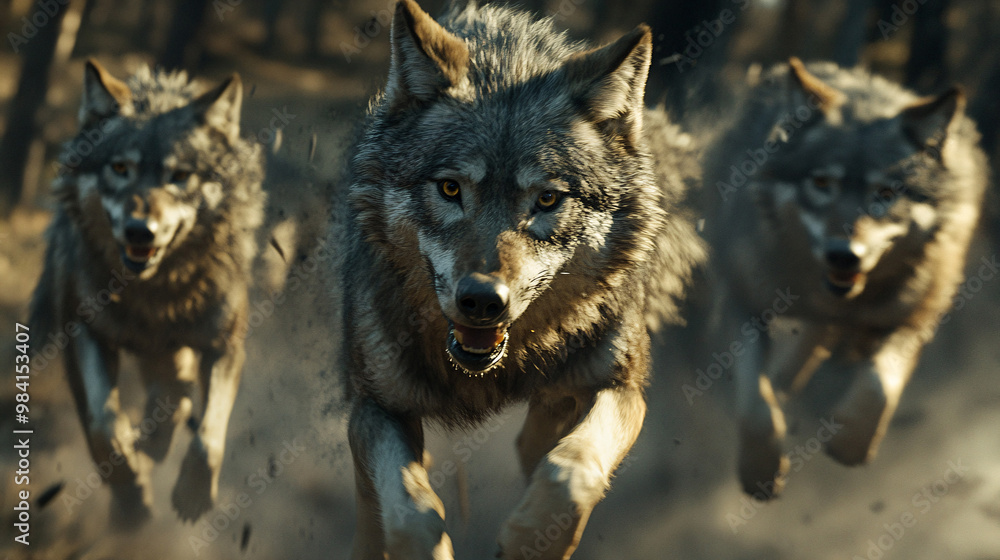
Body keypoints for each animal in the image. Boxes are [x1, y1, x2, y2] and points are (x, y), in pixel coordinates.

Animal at [29, 60, 266, 525]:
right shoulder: (85, 336)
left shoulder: (225, 346)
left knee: (179, 395)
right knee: (168, 394)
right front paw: (133, 501)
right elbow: (104, 430)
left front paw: (193, 494)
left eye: (180, 176)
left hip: (176, 350)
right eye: (121, 169)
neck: (153, 294)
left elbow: (210, 437)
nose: (141, 231)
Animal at [338, 1, 705, 558]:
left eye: (547, 199)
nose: (482, 301)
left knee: (538, 446)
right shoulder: (376, 407)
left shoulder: (622, 388)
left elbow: (572, 472)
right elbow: (409, 515)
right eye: (450, 189)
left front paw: (531, 540)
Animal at [703, 58, 988, 499]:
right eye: (822, 183)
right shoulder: (741, 301)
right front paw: (760, 472)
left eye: (885, 193)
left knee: (820, 339)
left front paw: (849, 443)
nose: (844, 255)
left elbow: (879, 383)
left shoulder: (913, 317)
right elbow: (753, 401)